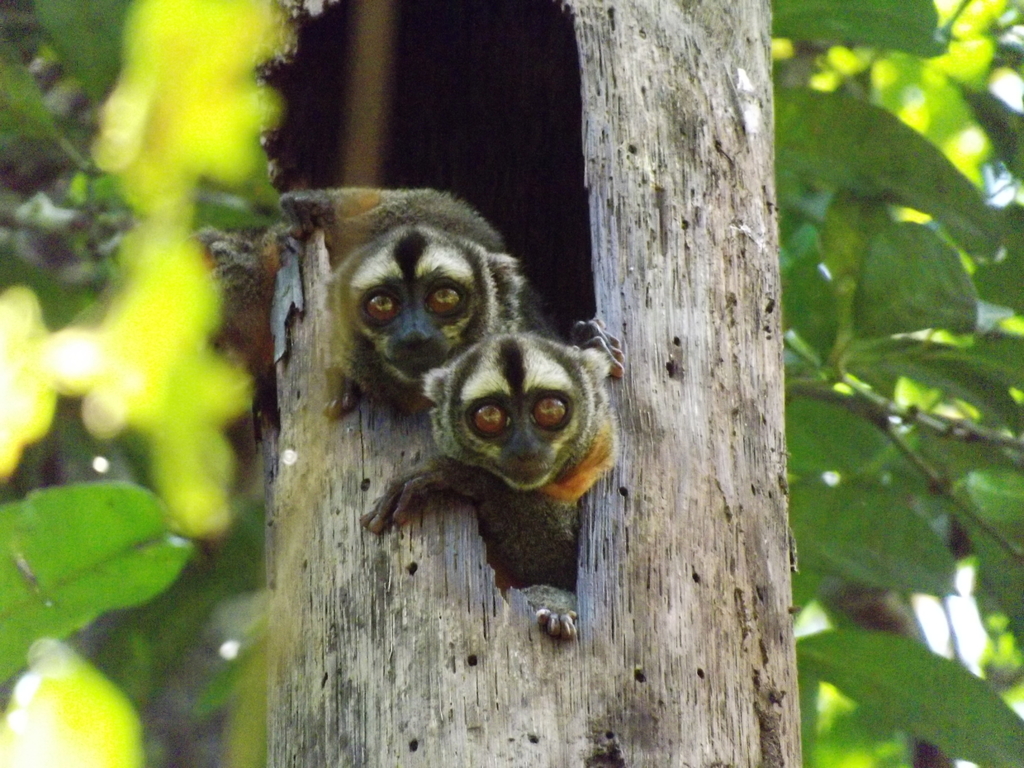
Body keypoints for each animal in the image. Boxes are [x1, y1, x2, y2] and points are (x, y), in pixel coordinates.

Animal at [362, 324, 624, 641]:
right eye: (489, 417)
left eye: (550, 410)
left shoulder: (601, 454)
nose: (525, 449)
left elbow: (562, 565)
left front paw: (456, 474)